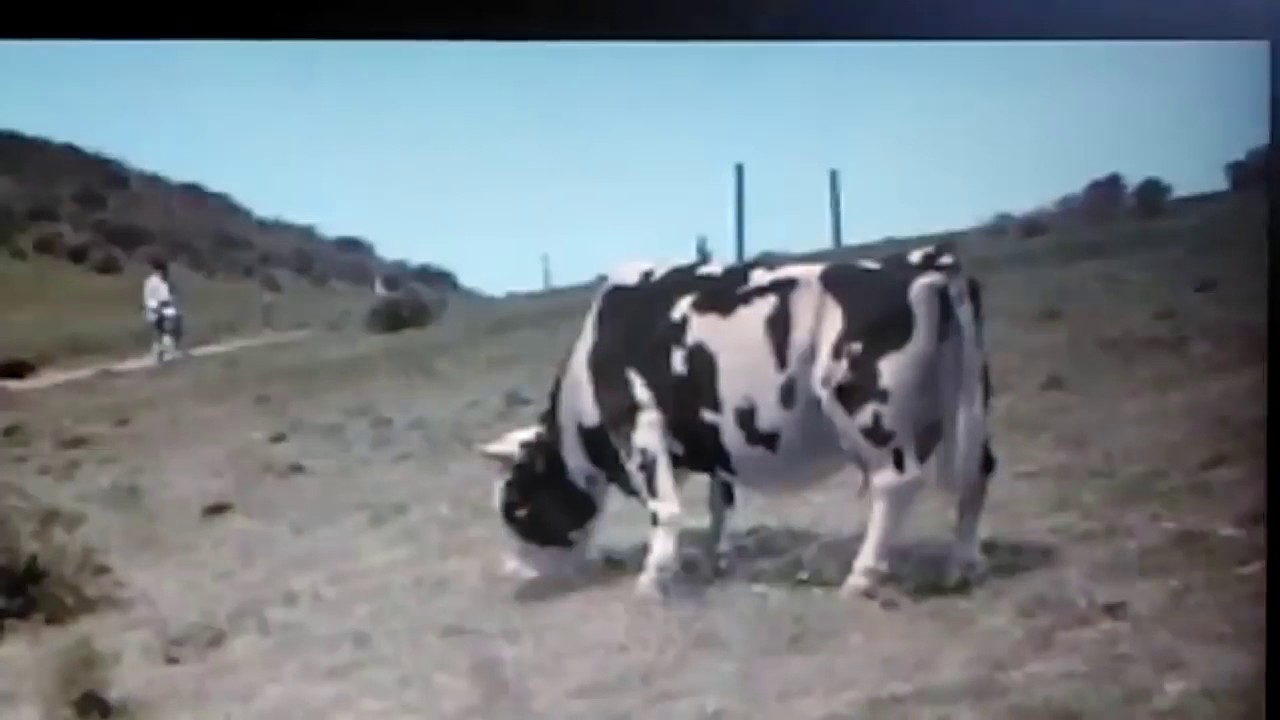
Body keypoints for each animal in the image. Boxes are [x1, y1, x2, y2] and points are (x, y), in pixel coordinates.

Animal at [475, 242, 996, 600]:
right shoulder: (709, 438)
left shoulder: (639, 424)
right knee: (977, 473)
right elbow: (719, 498)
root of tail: (921, 262)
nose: (510, 570)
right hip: (964, 407)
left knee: (895, 485)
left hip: (871, 412)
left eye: (517, 505)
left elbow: (666, 508)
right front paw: (717, 557)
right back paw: (963, 565)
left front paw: (654, 579)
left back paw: (861, 576)